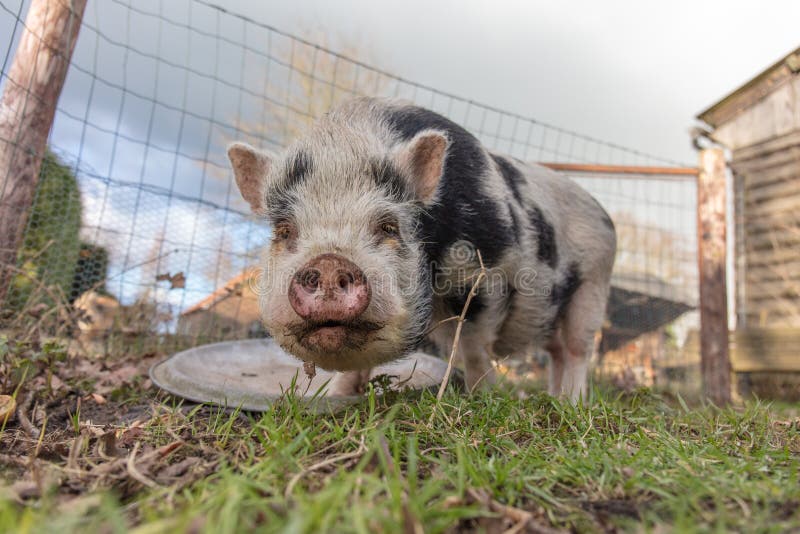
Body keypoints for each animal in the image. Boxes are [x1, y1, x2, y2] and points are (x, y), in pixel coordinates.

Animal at [228, 97, 616, 401]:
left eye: (388, 226)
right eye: (283, 230)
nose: (328, 262)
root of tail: (603, 212)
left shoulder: (483, 273)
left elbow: (472, 346)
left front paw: (482, 396)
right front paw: (338, 397)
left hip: (593, 288)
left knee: (577, 351)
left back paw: (571, 404)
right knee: (557, 353)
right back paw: (555, 400)